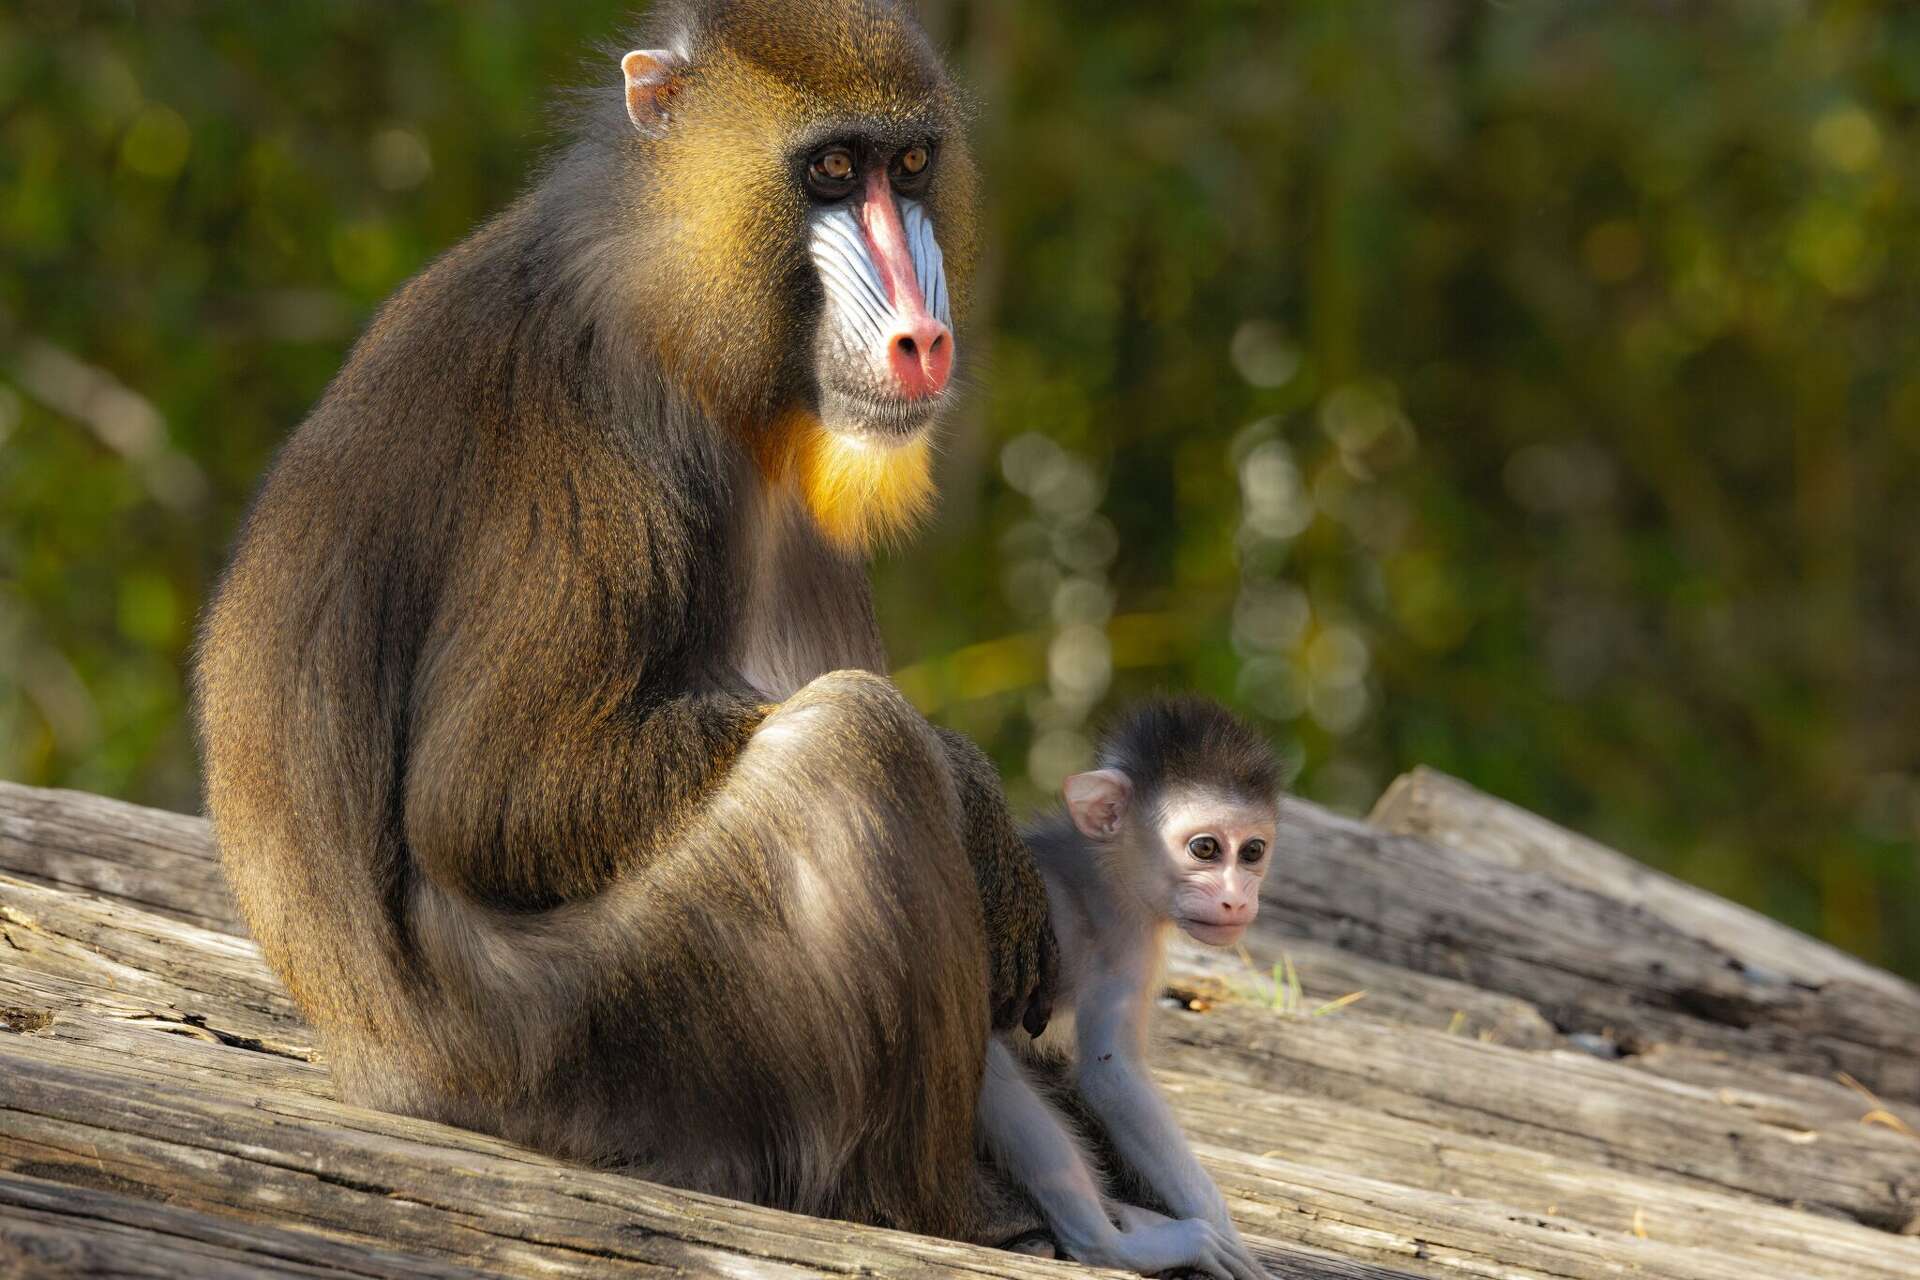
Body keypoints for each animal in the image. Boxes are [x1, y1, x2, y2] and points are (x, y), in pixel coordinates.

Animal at [191, 0, 1056, 1242]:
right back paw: (948, 1207)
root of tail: (387, 1063)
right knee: (851, 743)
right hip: (598, 1048)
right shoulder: (607, 430)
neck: (682, 283)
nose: (920, 340)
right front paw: (972, 789)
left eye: (908, 166)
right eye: (830, 171)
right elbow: (492, 791)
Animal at [978, 697, 1280, 1279]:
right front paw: (1226, 1232)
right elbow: (1112, 1077)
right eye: (1206, 848)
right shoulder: (1124, 934)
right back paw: (1114, 1244)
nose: (1236, 898)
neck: (1109, 864)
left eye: (1252, 852)